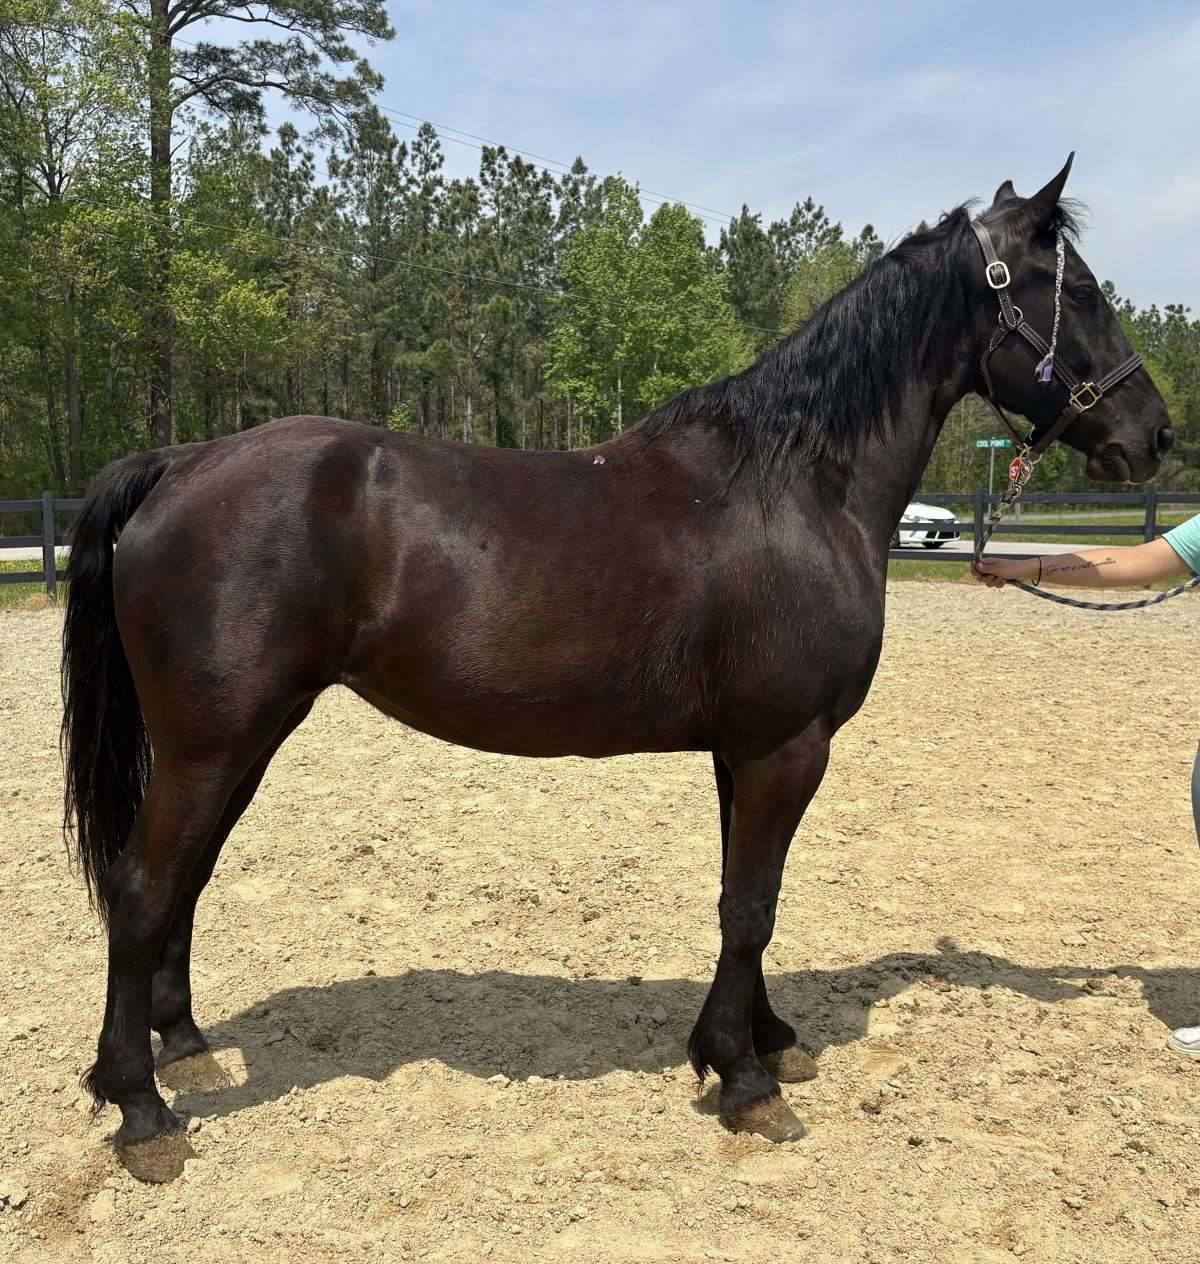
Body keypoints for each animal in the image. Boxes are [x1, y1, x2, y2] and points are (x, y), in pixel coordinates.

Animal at [61, 155, 1171, 1178]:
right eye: (1083, 291)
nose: (1154, 434)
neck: (795, 485)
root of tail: (182, 461)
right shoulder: (786, 746)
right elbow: (752, 906)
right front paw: (746, 1080)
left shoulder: (744, 751)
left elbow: (746, 900)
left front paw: (762, 1041)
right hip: (212, 741)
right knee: (143, 886)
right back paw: (141, 1108)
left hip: (243, 739)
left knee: (186, 881)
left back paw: (185, 1047)